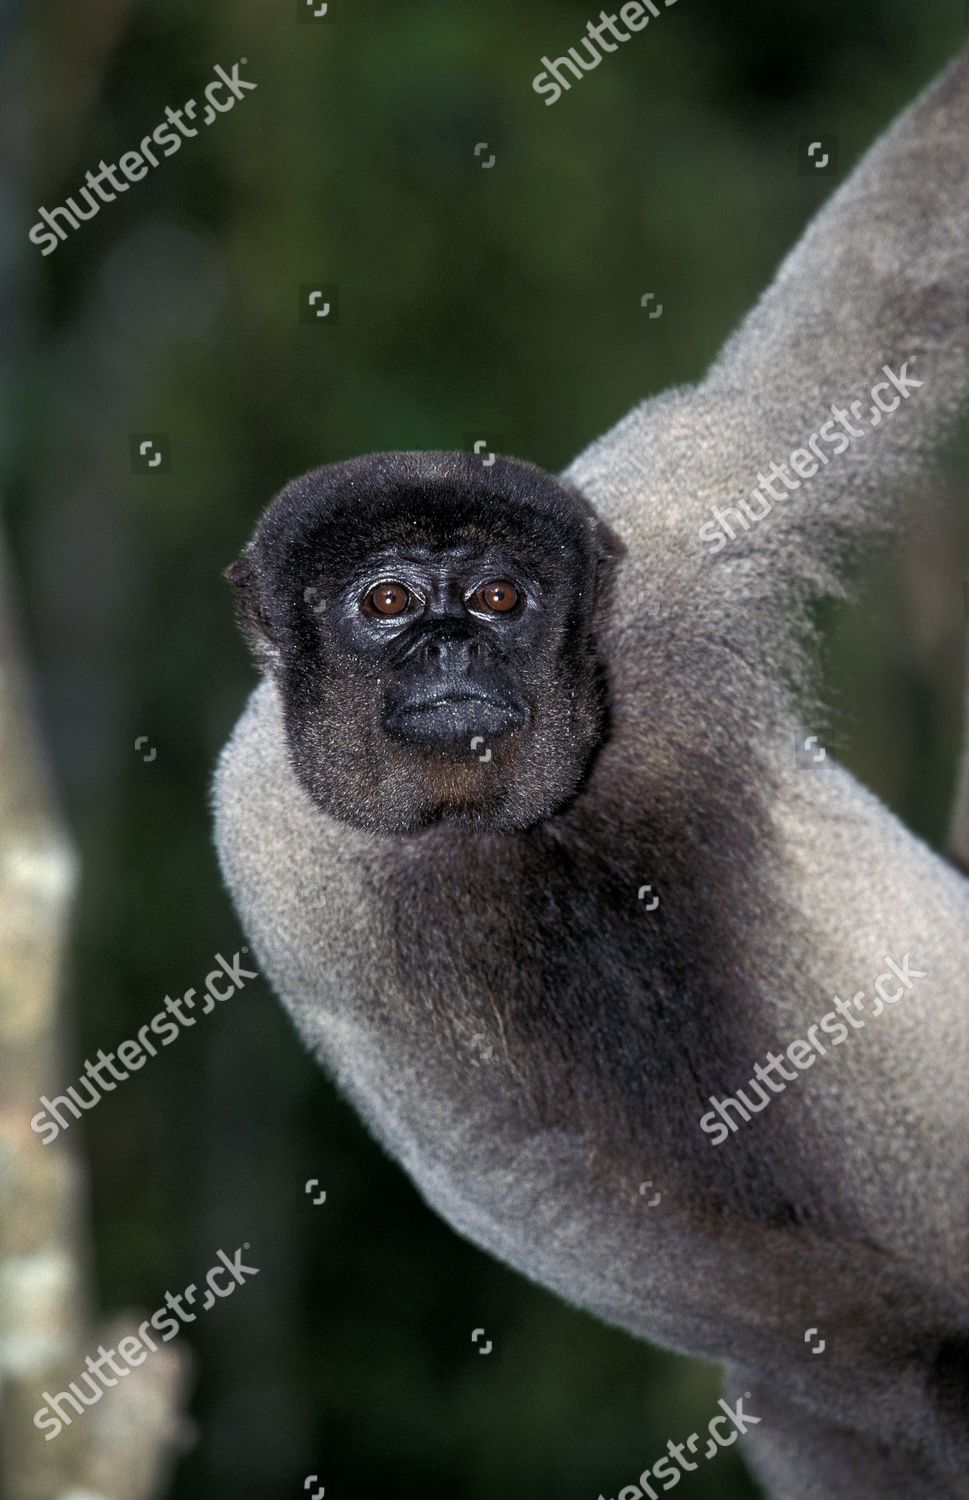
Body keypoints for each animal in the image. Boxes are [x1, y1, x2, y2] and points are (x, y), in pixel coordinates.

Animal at [214, 47, 969, 1500]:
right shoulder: (276, 849)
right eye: (386, 602)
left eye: (501, 595)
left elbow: (883, 311)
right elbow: (514, 1164)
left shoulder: (675, 522)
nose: (451, 643)